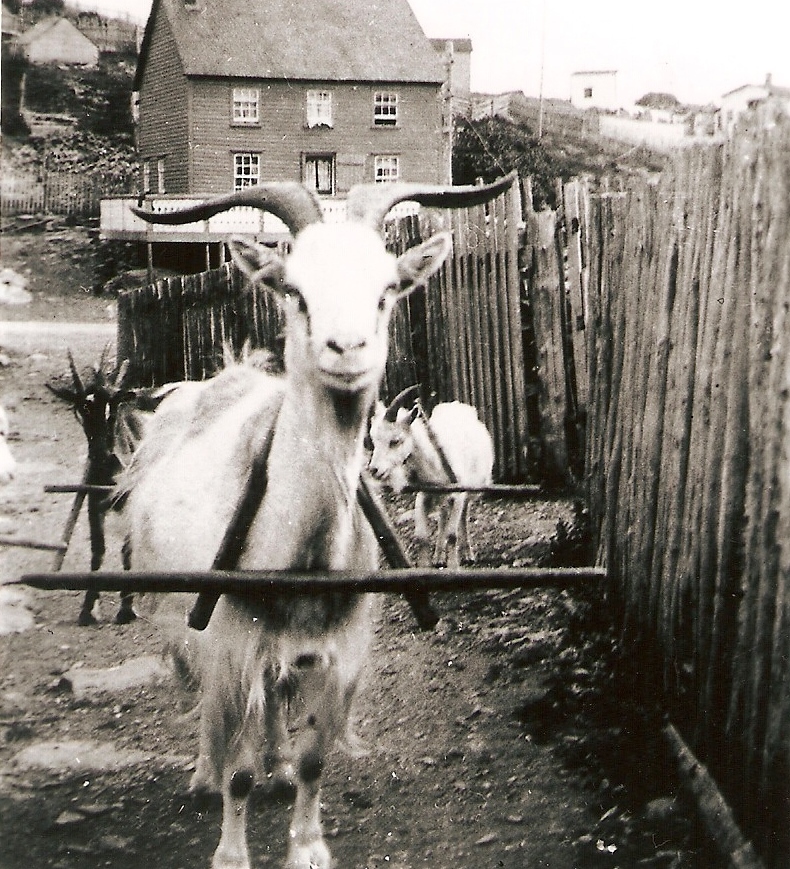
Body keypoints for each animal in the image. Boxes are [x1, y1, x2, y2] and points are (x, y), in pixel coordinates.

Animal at [369, 389, 494, 568]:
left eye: (395, 441)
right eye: (373, 440)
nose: (374, 470)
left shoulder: (458, 494)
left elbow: (452, 535)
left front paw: (454, 566)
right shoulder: (424, 495)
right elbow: (421, 537)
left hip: (470, 489)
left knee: (463, 516)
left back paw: (467, 554)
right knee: (442, 516)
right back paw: (438, 557)